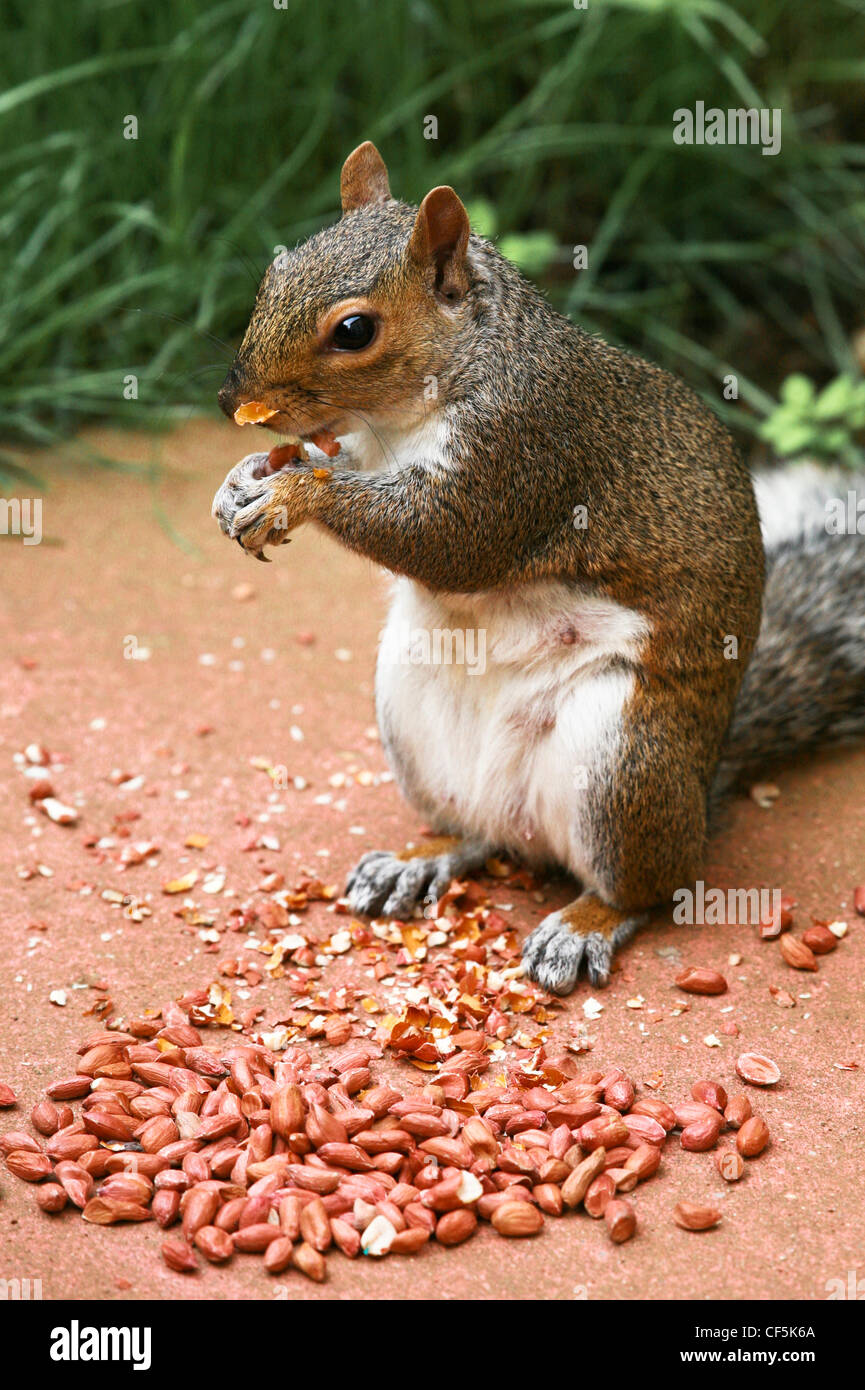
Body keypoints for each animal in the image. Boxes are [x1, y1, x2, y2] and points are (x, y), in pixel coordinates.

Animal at [213, 141, 865, 994]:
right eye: (273, 272)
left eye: (354, 330)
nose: (231, 399)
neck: (408, 413)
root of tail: (701, 782)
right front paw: (241, 480)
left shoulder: (525, 450)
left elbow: (448, 538)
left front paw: (292, 493)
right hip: (412, 718)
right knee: (474, 832)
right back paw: (422, 856)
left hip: (622, 760)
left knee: (648, 885)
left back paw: (584, 923)